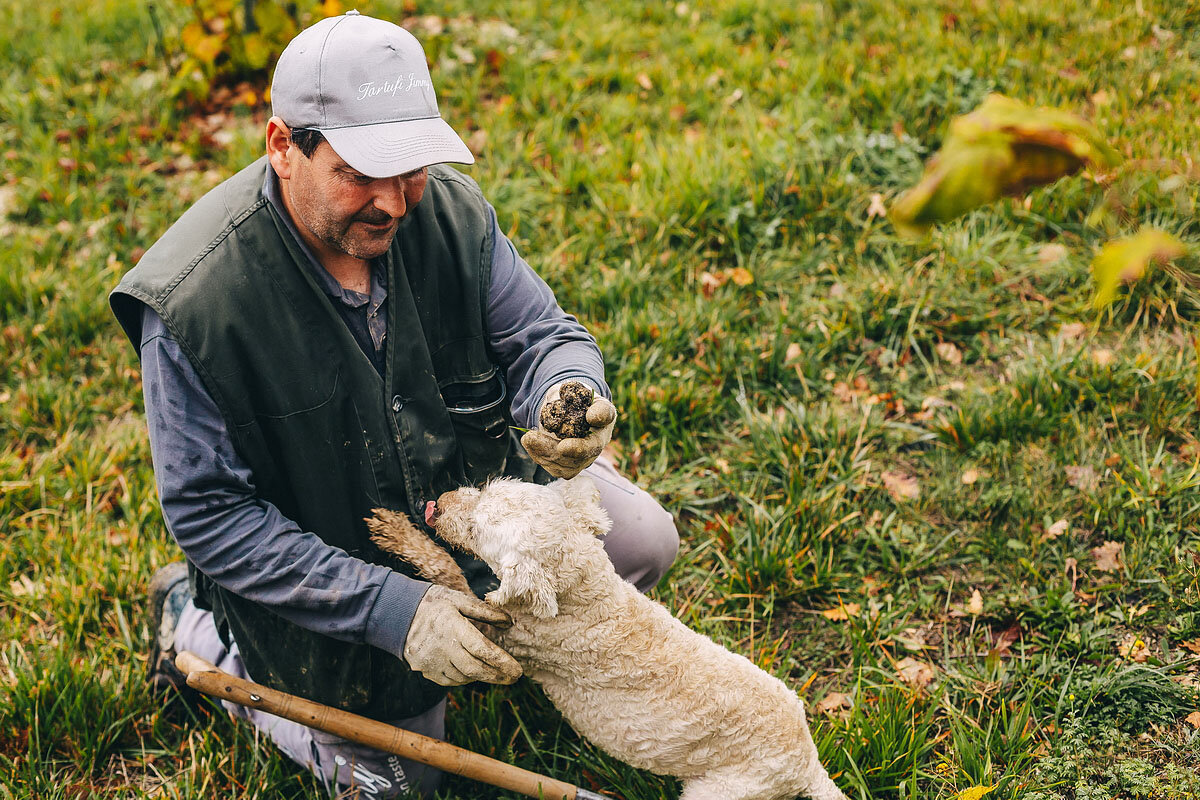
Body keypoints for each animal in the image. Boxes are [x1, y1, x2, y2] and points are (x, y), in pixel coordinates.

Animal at [369, 479, 849, 796]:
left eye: (477, 531)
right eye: (486, 487)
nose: (436, 504)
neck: (585, 589)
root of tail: (809, 765)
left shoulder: (512, 637)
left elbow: (448, 575)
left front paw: (396, 532)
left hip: (730, 789)